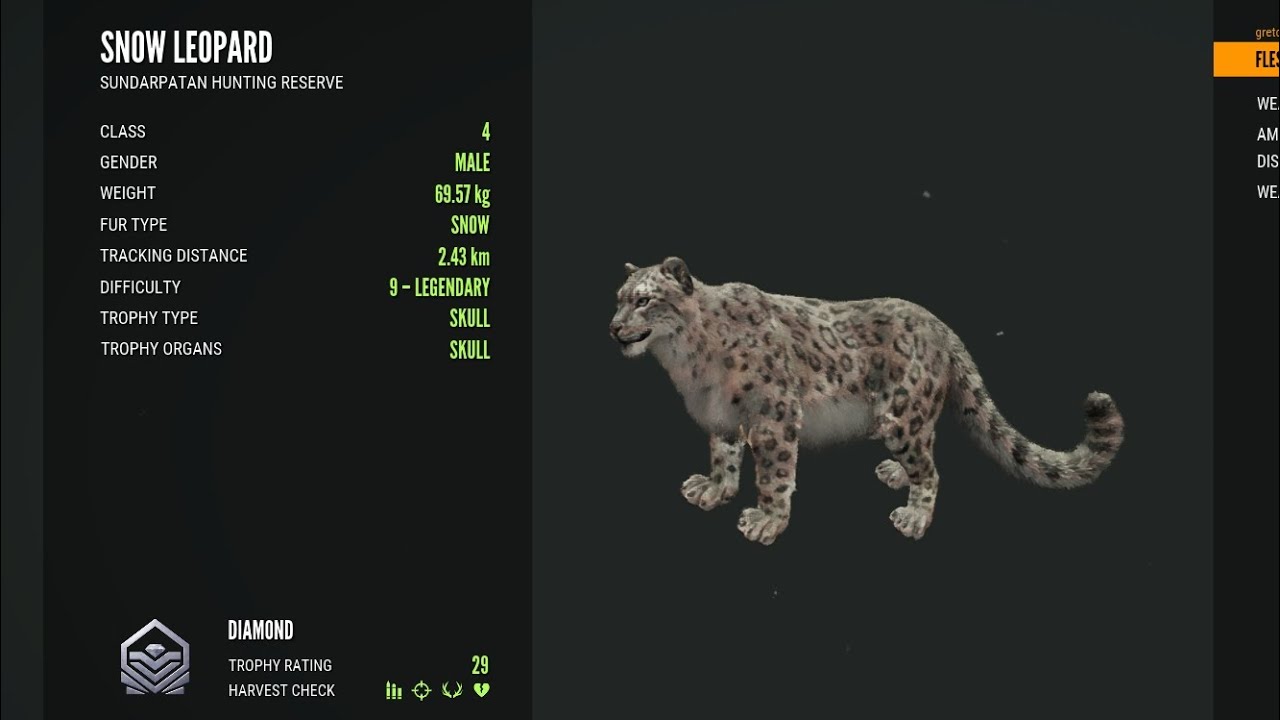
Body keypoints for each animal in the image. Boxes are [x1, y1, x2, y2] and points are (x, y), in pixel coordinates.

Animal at [609, 257, 1124, 545]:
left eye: (643, 300)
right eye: (617, 297)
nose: (613, 327)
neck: (687, 363)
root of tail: (940, 326)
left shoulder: (775, 417)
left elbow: (774, 476)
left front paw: (766, 522)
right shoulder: (721, 415)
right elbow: (723, 456)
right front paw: (714, 489)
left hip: (903, 414)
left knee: (931, 469)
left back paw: (913, 515)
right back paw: (897, 473)